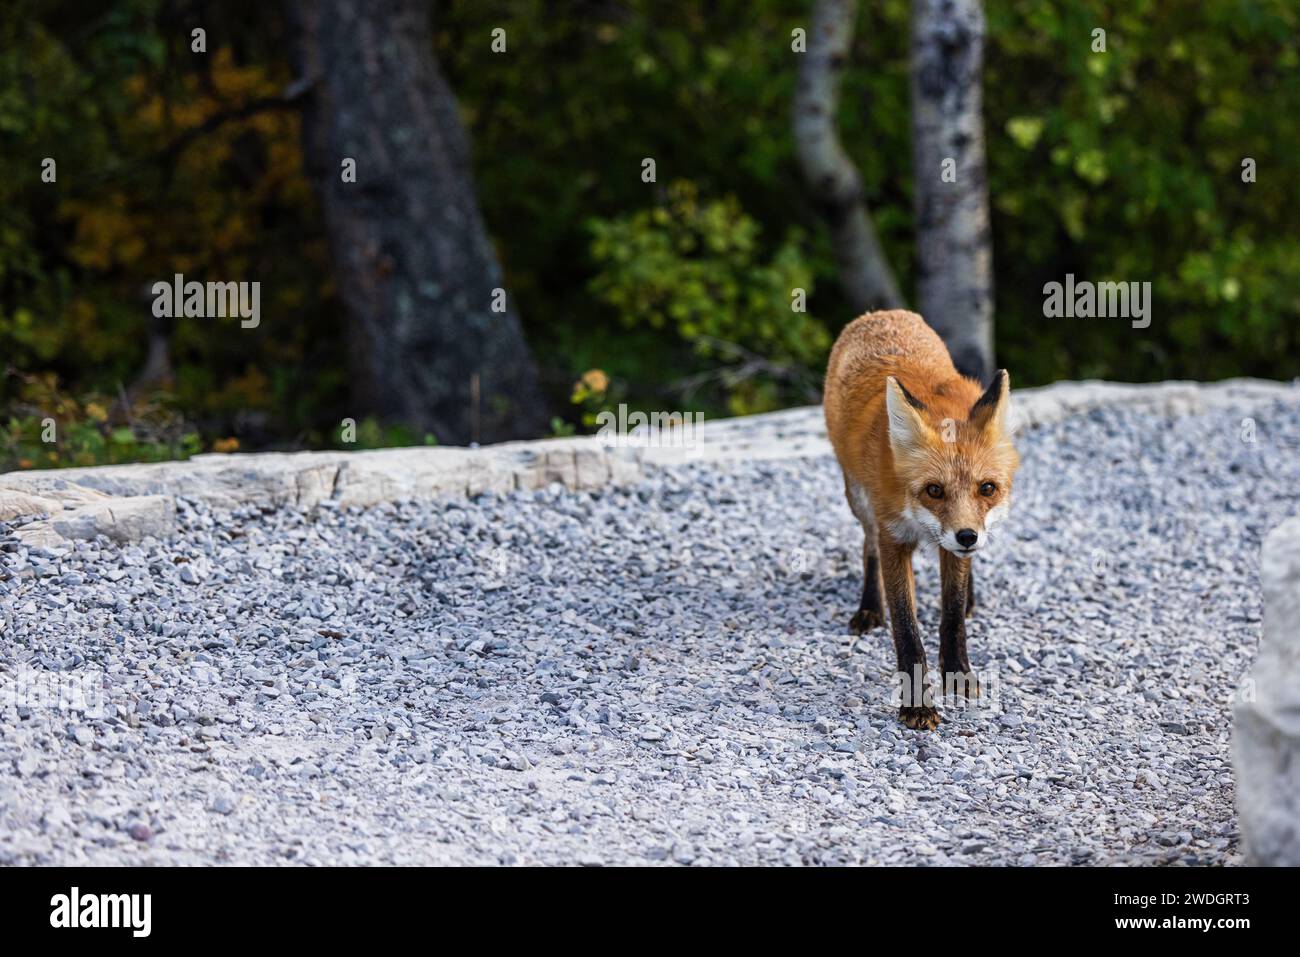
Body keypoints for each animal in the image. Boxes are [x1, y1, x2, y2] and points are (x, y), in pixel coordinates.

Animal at [824, 310, 1019, 730]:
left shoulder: (953, 547)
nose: (967, 536)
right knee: (868, 549)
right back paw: (869, 608)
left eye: (987, 488)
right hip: (858, 500)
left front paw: (958, 674)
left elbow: (952, 616)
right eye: (934, 490)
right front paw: (916, 705)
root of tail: (883, 314)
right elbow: (906, 628)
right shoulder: (893, 536)